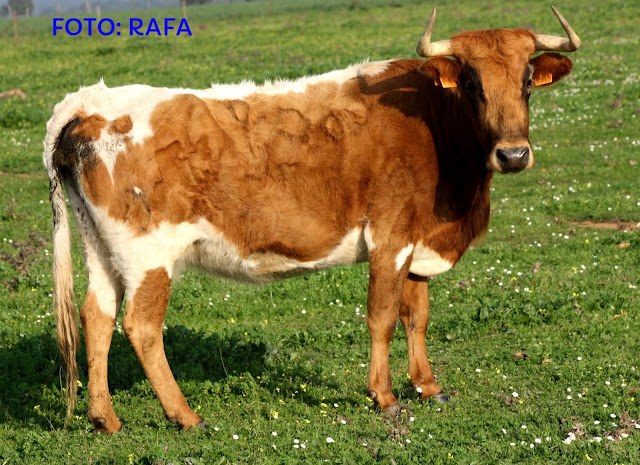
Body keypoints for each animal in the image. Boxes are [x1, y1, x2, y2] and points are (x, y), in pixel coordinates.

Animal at [44, 6, 580, 433]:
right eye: (471, 83)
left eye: (527, 82)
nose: (513, 154)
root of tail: (89, 103)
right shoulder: (390, 236)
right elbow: (383, 316)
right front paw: (385, 396)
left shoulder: (416, 239)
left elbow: (418, 315)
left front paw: (428, 386)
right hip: (146, 254)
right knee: (140, 325)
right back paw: (185, 415)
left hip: (102, 248)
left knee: (97, 316)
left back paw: (104, 418)